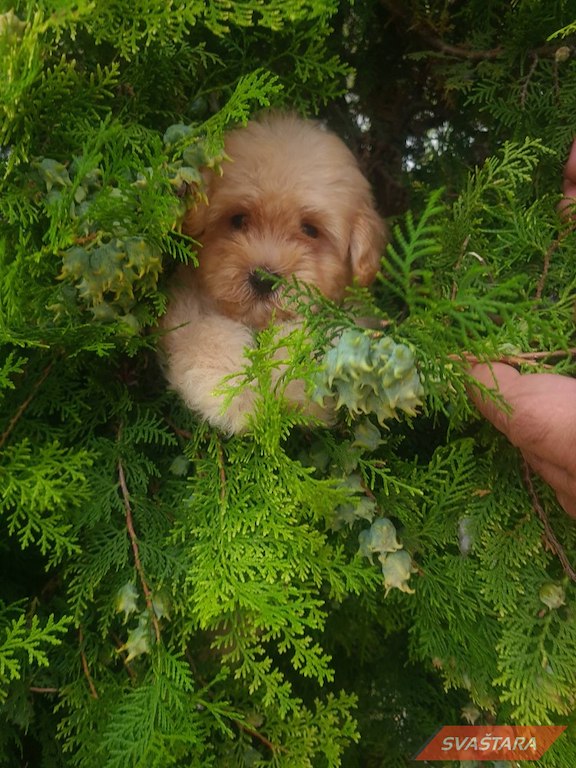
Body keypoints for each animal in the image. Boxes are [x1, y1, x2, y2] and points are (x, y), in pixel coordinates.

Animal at [159, 112, 388, 436]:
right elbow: (207, 335)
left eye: (310, 230)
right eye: (238, 219)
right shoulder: (188, 305)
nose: (263, 279)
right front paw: (235, 396)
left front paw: (286, 388)